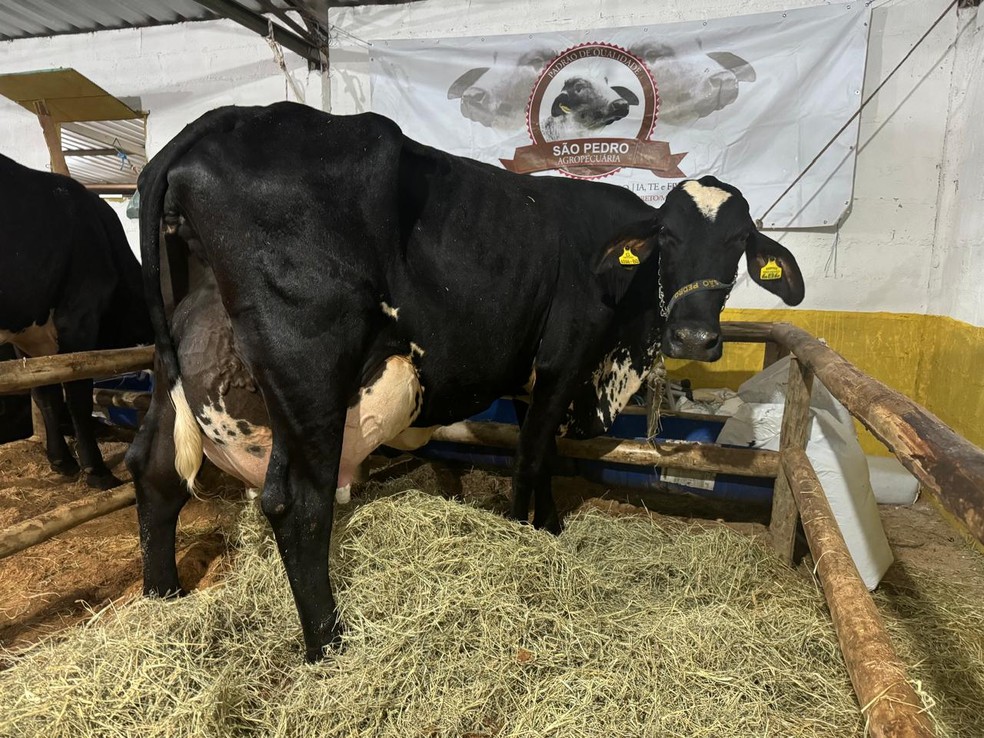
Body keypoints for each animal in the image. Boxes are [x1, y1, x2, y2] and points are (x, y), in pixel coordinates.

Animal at [0, 153, 153, 488]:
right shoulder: (78, 318)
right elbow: (77, 397)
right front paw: (97, 471)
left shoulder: (27, 336)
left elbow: (45, 396)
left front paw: (62, 462)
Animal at [129, 102, 804, 662]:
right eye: (667, 236)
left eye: (740, 242)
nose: (693, 338)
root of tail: (230, 117)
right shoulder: (562, 361)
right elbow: (531, 456)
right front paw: (529, 532)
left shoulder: (531, 378)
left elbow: (546, 452)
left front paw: (551, 526)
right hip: (309, 370)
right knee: (297, 503)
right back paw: (328, 643)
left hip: (177, 363)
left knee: (154, 471)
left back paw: (163, 596)